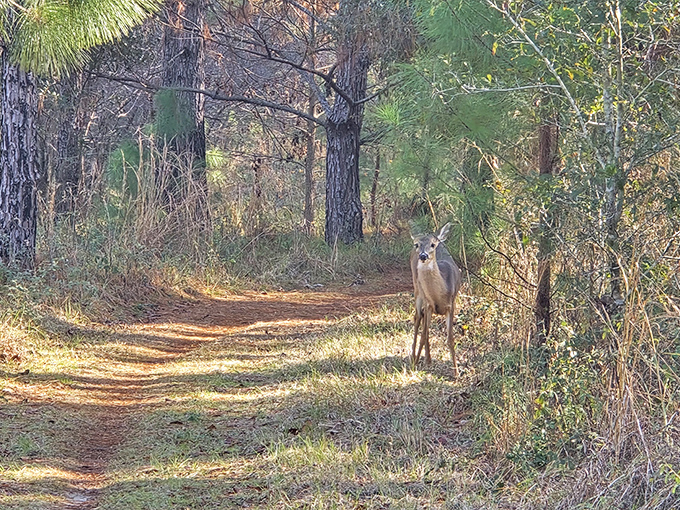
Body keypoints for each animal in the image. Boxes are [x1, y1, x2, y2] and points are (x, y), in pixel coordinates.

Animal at [410, 223, 463, 375]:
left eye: (433, 245)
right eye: (417, 244)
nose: (423, 255)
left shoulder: (451, 304)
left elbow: (450, 338)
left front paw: (456, 372)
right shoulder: (429, 304)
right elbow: (423, 335)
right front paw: (415, 363)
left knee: (421, 319)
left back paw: (428, 359)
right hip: (417, 290)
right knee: (417, 318)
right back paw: (414, 357)